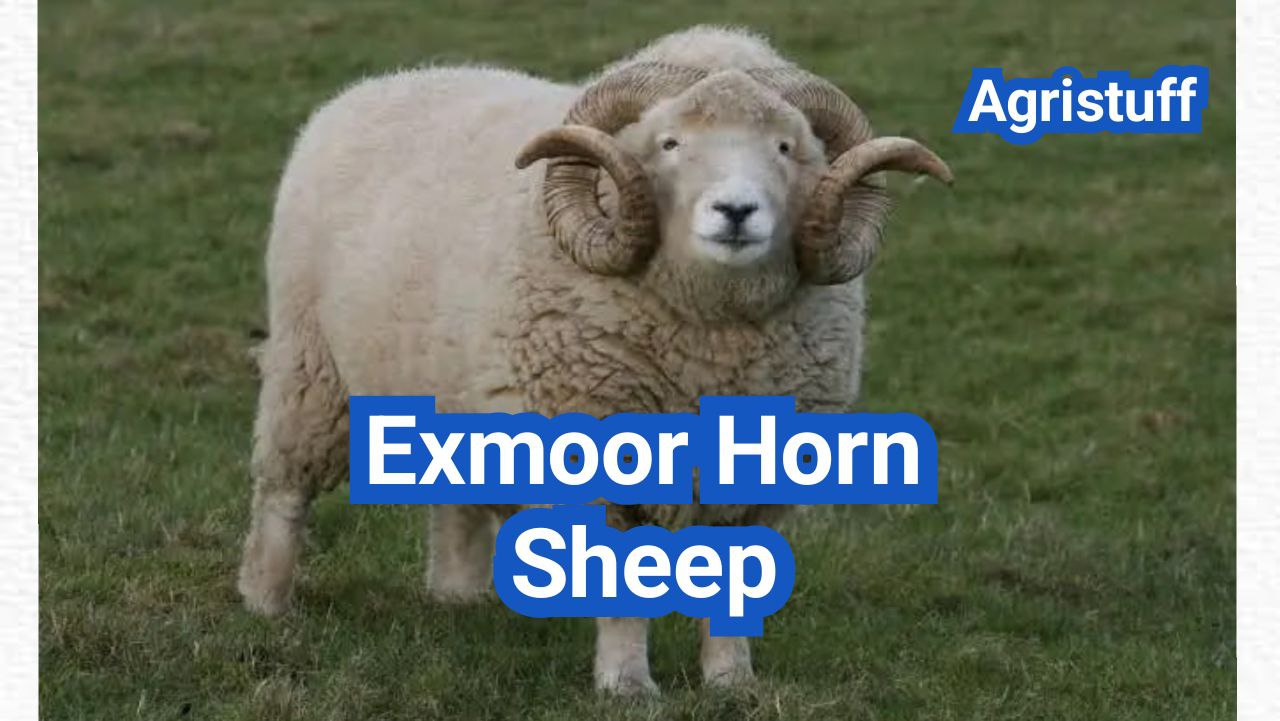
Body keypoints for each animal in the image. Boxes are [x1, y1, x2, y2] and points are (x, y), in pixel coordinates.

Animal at [236, 25, 952, 694]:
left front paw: (731, 682)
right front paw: (627, 684)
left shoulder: (759, 480)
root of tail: (381, 84)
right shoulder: (600, 460)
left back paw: (457, 598)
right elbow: (624, 592)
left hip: (452, 397)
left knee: (454, 501)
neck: (713, 346)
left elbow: (736, 591)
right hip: (310, 368)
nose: (736, 211)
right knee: (284, 488)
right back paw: (265, 603)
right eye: (668, 144)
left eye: (786, 147)